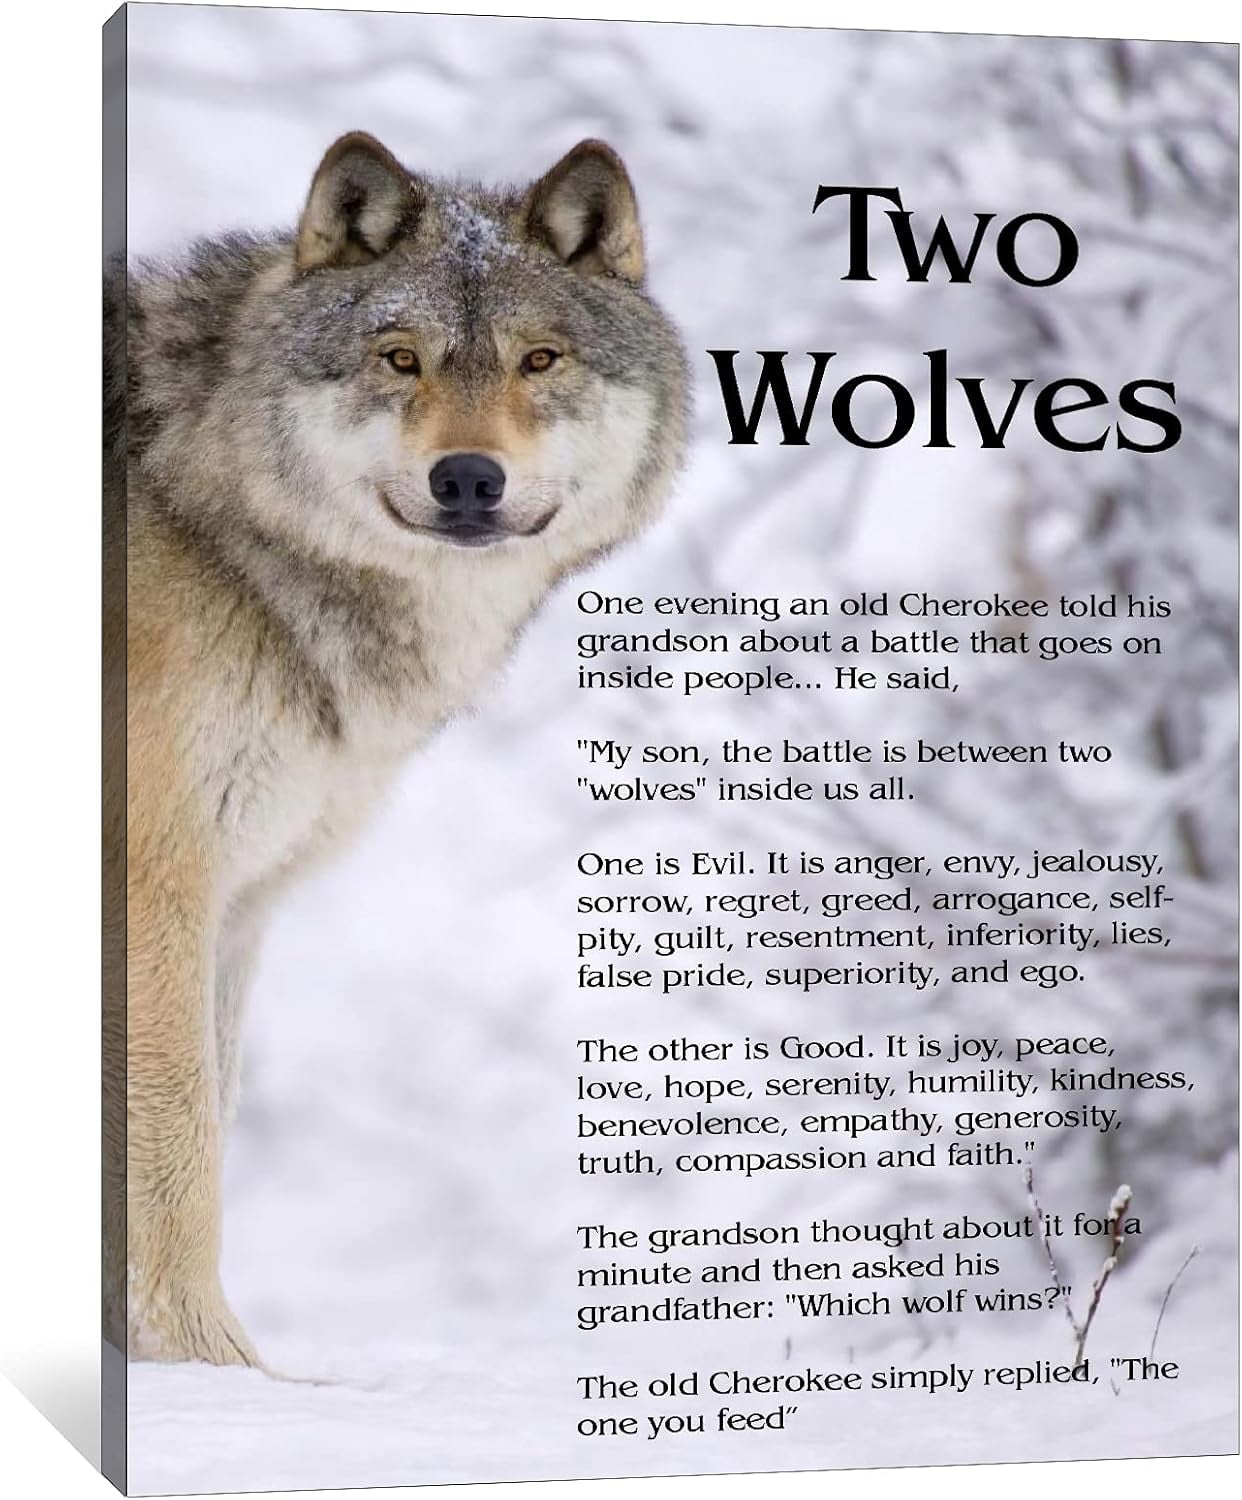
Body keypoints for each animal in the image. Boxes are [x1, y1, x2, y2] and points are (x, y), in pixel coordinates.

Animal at [102, 132, 688, 1368]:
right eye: (400, 358)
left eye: (538, 359)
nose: (467, 478)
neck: (211, 514)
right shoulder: (158, 884)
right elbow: (182, 1145)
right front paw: (217, 1371)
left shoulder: (241, 902)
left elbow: (203, 1123)